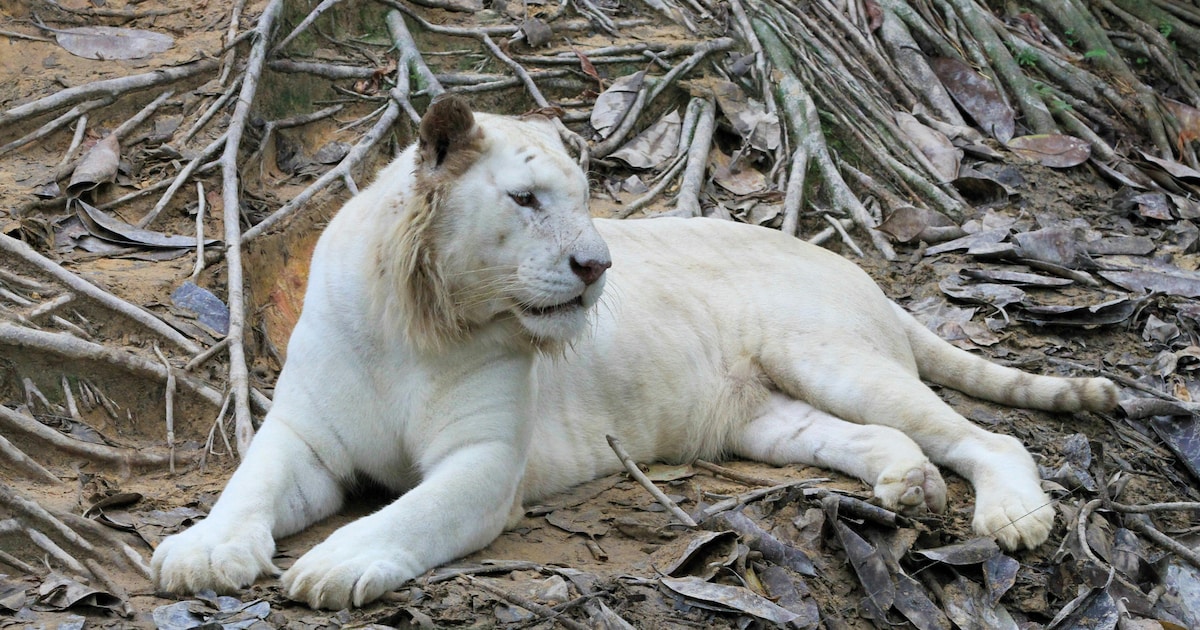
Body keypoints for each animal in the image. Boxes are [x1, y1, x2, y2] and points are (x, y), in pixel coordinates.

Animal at [152, 96, 1119, 609]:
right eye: (527, 200)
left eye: (586, 199)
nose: (598, 264)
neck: (419, 324)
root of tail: (861, 272)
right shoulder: (308, 437)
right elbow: (249, 484)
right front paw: (200, 553)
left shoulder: (485, 463)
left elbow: (409, 514)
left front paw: (333, 566)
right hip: (769, 419)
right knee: (881, 440)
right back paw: (906, 487)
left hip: (833, 358)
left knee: (986, 437)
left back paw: (1012, 517)